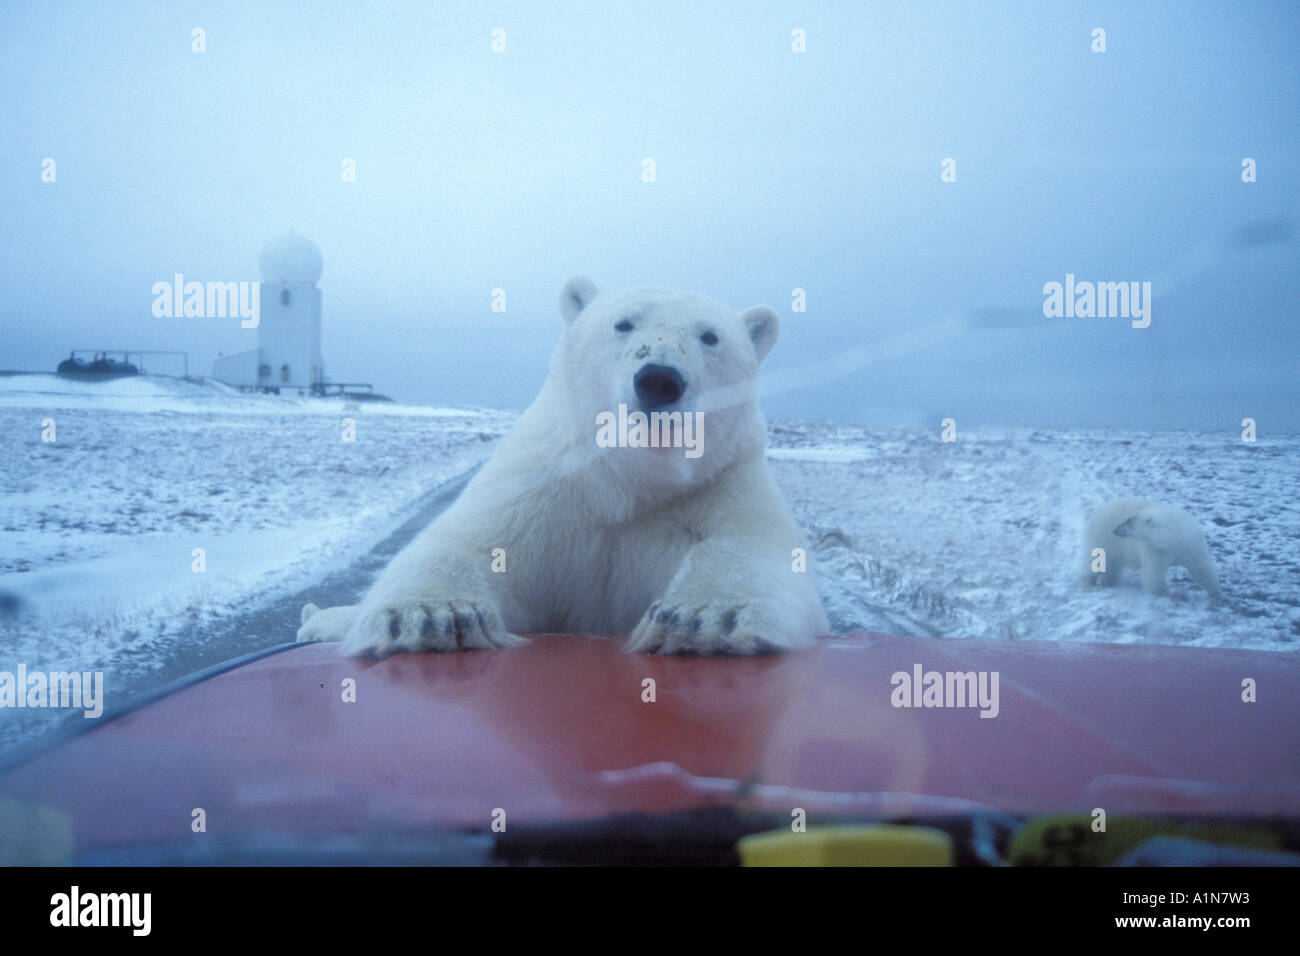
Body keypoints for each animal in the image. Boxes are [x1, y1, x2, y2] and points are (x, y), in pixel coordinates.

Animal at [297, 277, 830, 655]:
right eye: (623, 323)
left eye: (710, 336)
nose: (658, 380)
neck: (627, 479)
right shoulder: (543, 486)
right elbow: (470, 545)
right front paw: (434, 616)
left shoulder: (720, 480)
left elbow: (751, 545)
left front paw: (705, 619)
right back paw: (319, 618)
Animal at [1078, 498, 1223, 601]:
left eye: (1129, 521)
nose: (1116, 530)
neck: (1174, 539)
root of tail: (1096, 513)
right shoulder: (1153, 548)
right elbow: (1154, 572)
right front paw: (1166, 595)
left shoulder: (1191, 545)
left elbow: (1201, 567)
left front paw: (1216, 593)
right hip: (1102, 539)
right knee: (1097, 562)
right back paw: (1089, 583)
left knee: (1113, 566)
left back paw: (1108, 583)